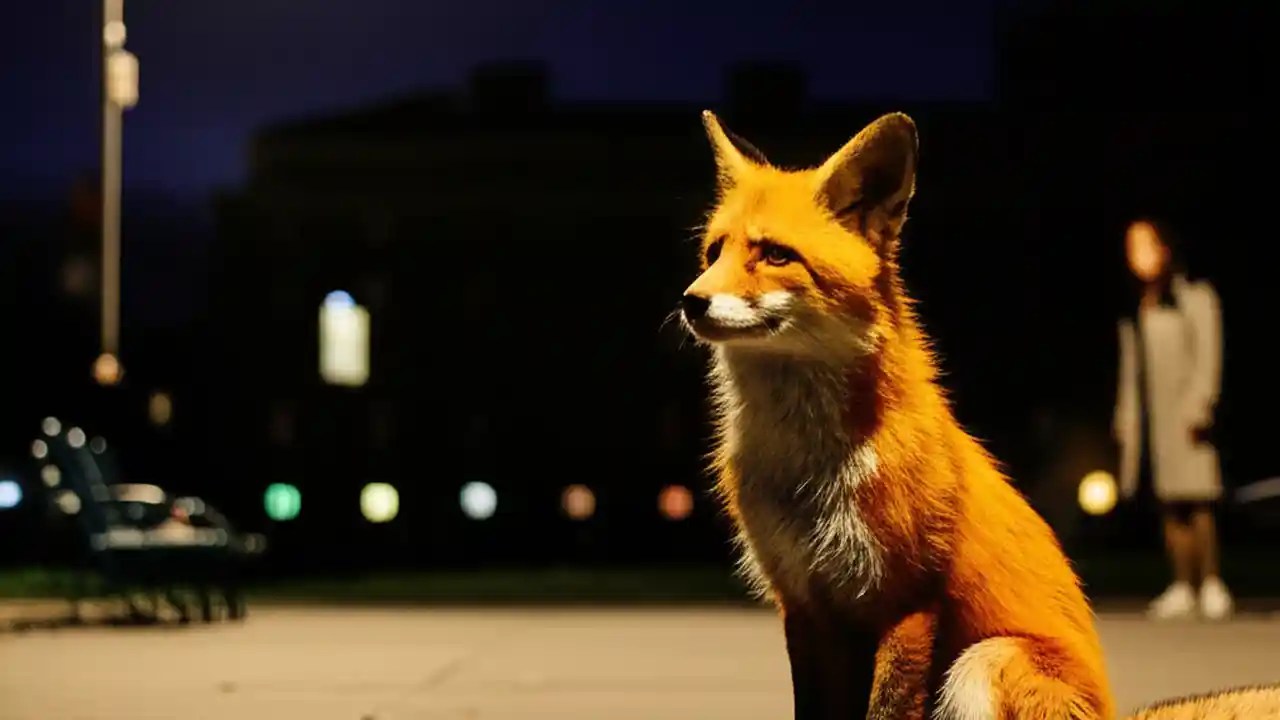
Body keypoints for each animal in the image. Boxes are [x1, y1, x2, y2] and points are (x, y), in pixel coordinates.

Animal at [679, 110, 1115, 719]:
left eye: (775, 255)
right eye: (714, 253)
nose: (691, 301)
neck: (810, 472)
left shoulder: (905, 601)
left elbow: (886, 708)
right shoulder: (805, 603)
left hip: (982, 661)